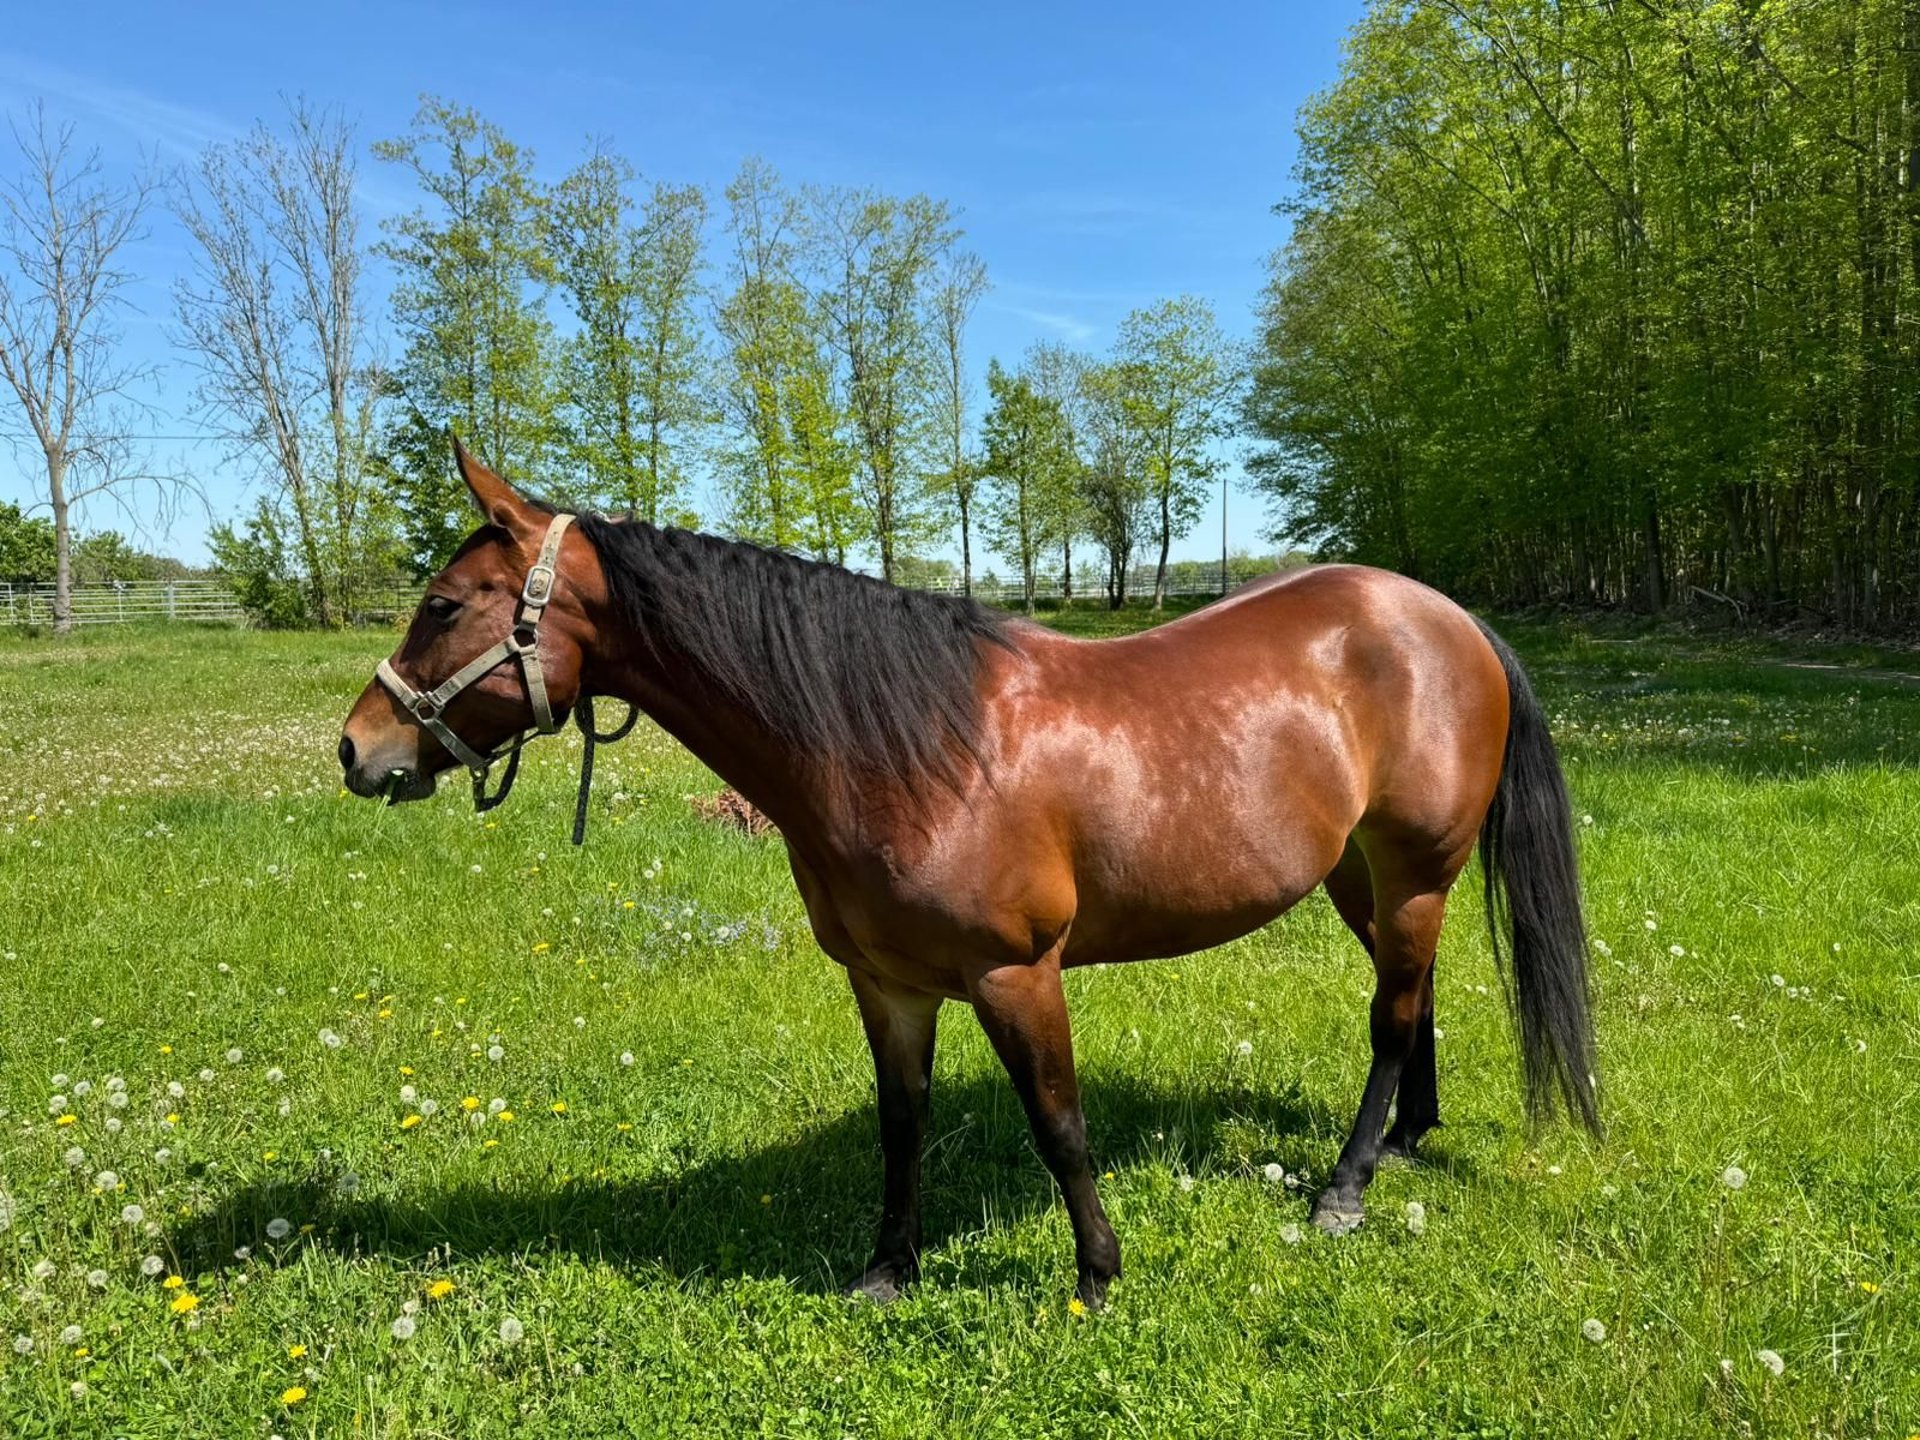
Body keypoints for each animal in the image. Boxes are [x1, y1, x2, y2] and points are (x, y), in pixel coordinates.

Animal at [338, 441, 1599, 1308]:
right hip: (1358, 877)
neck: (896, 746)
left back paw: (1345, 1187)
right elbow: (904, 1126)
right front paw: (888, 1269)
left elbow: (1059, 1124)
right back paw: (1403, 1140)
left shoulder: (1015, 975)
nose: (358, 748)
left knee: (1391, 1016)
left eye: (442, 606)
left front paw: (1097, 1276)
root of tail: (1450, 620)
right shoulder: (889, 984)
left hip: (1415, 868)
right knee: (1411, 999)